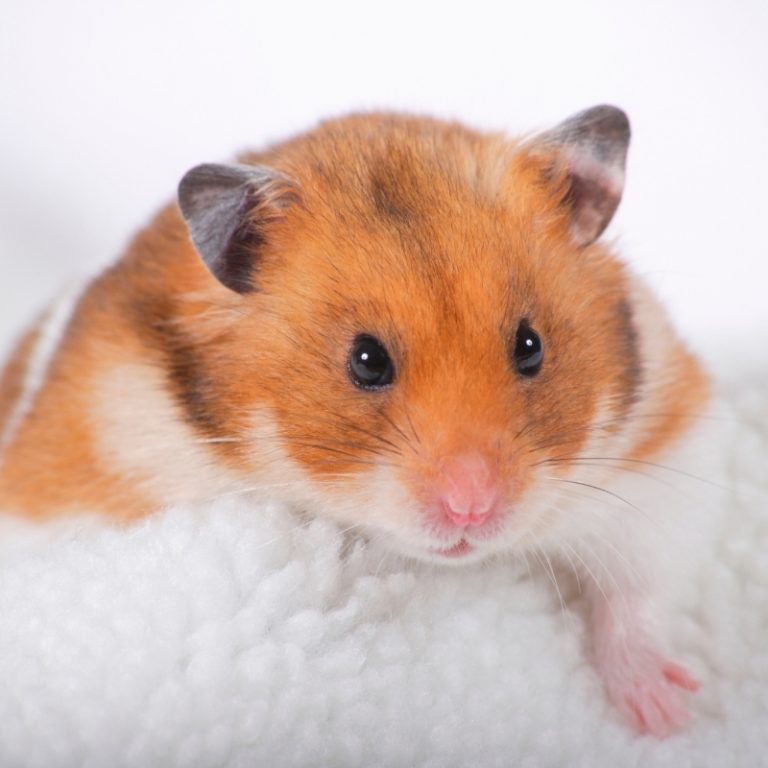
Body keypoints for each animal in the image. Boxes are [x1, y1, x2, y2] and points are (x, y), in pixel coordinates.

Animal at [0, 107, 711, 736]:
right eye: (366, 361)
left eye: (530, 346)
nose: (472, 509)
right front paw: (674, 720)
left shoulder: (658, 457)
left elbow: (637, 587)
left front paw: (668, 717)